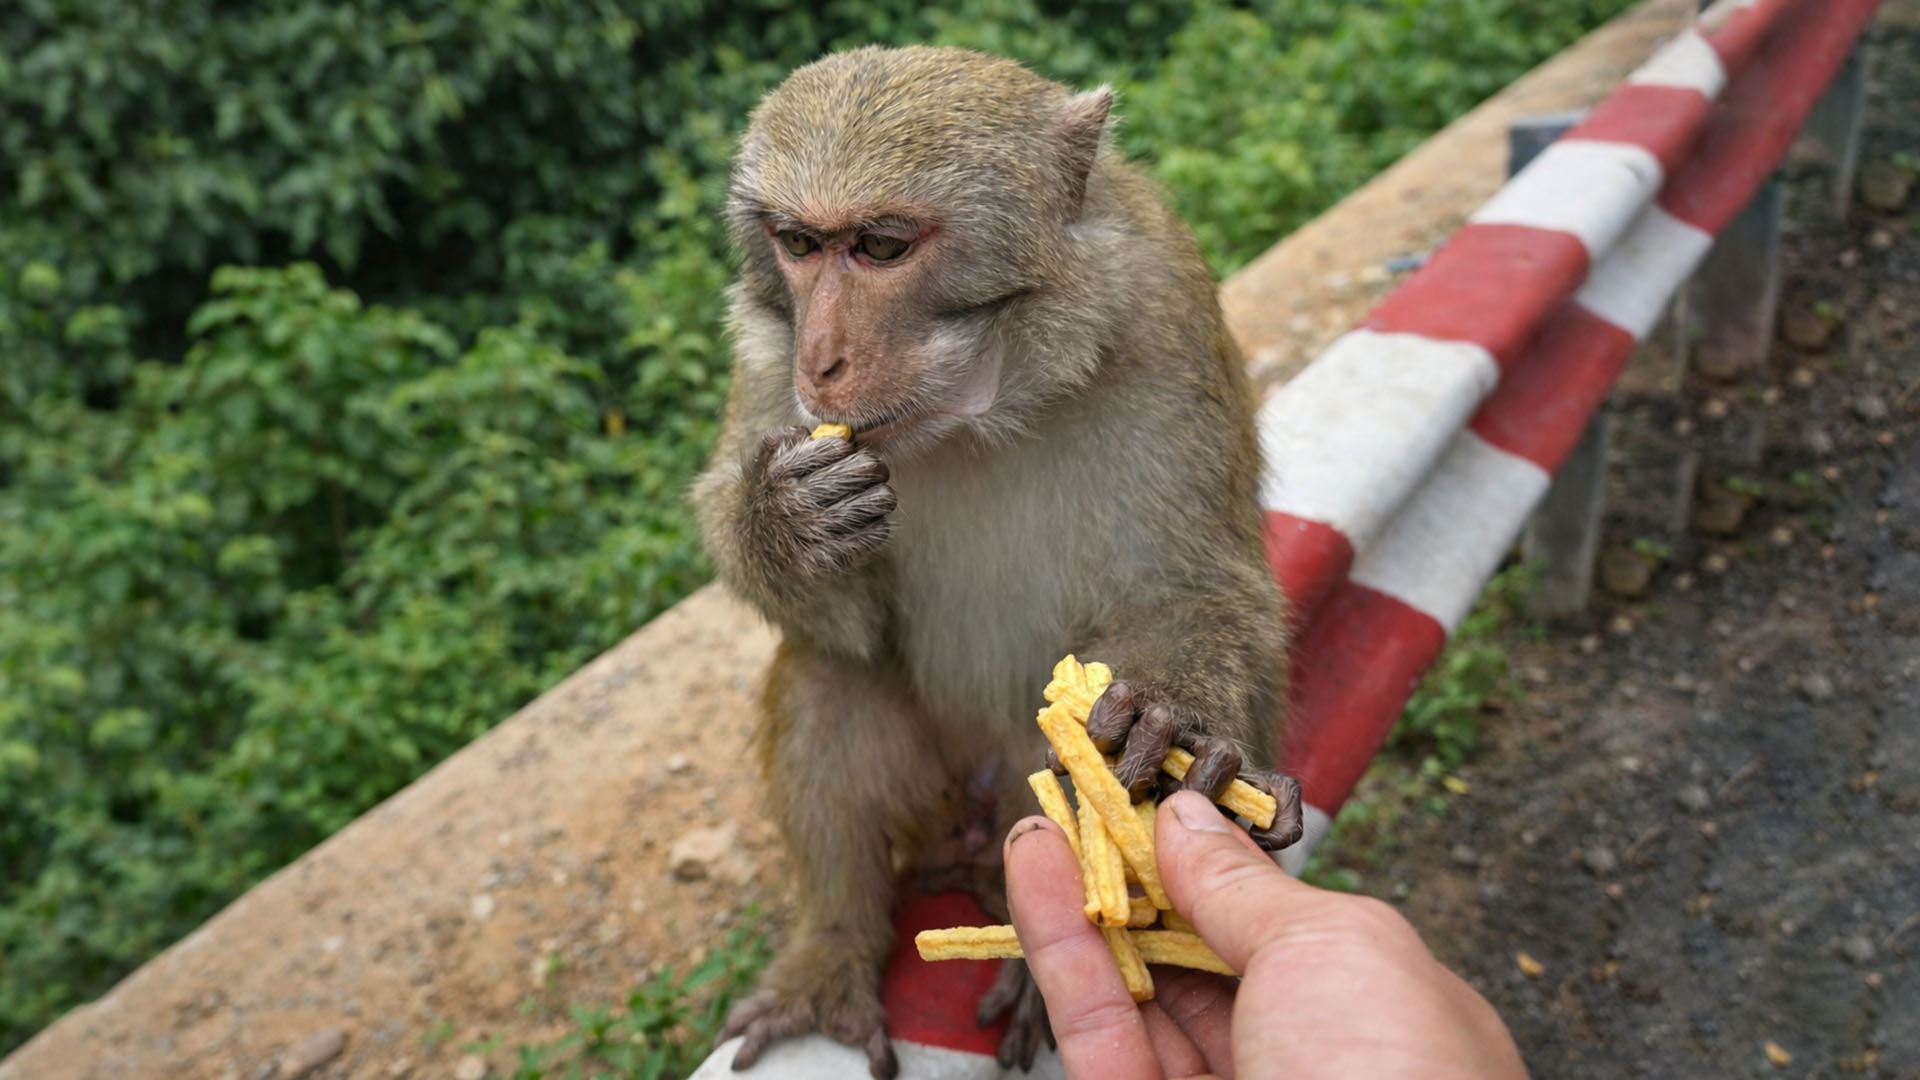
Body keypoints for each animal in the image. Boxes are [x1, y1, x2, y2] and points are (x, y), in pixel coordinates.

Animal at [692, 45, 1301, 1078]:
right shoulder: (766, 356)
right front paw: (785, 521)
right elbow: (827, 612)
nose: (822, 361)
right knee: (829, 676)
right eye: (800, 245)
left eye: (881, 247)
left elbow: (1195, 586)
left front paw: (1161, 716)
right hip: (934, 797)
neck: (988, 401)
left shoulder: (1163, 302)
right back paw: (833, 951)